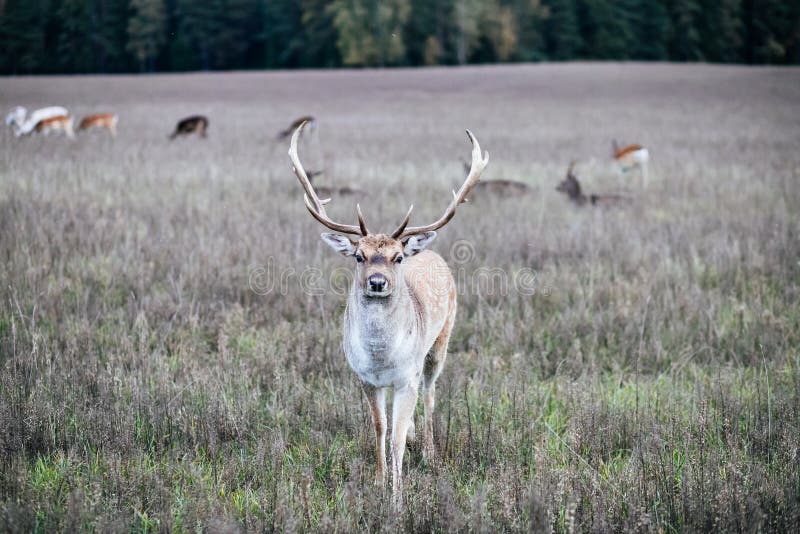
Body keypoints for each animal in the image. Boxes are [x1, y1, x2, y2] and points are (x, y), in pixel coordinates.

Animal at [287, 122, 488, 505]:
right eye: (358, 256)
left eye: (396, 257)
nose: (378, 282)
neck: (381, 358)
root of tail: (429, 253)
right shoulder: (364, 377)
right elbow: (380, 428)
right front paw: (379, 482)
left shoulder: (405, 377)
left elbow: (395, 433)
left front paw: (397, 495)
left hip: (440, 342)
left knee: (431, 393)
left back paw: (428, 451)